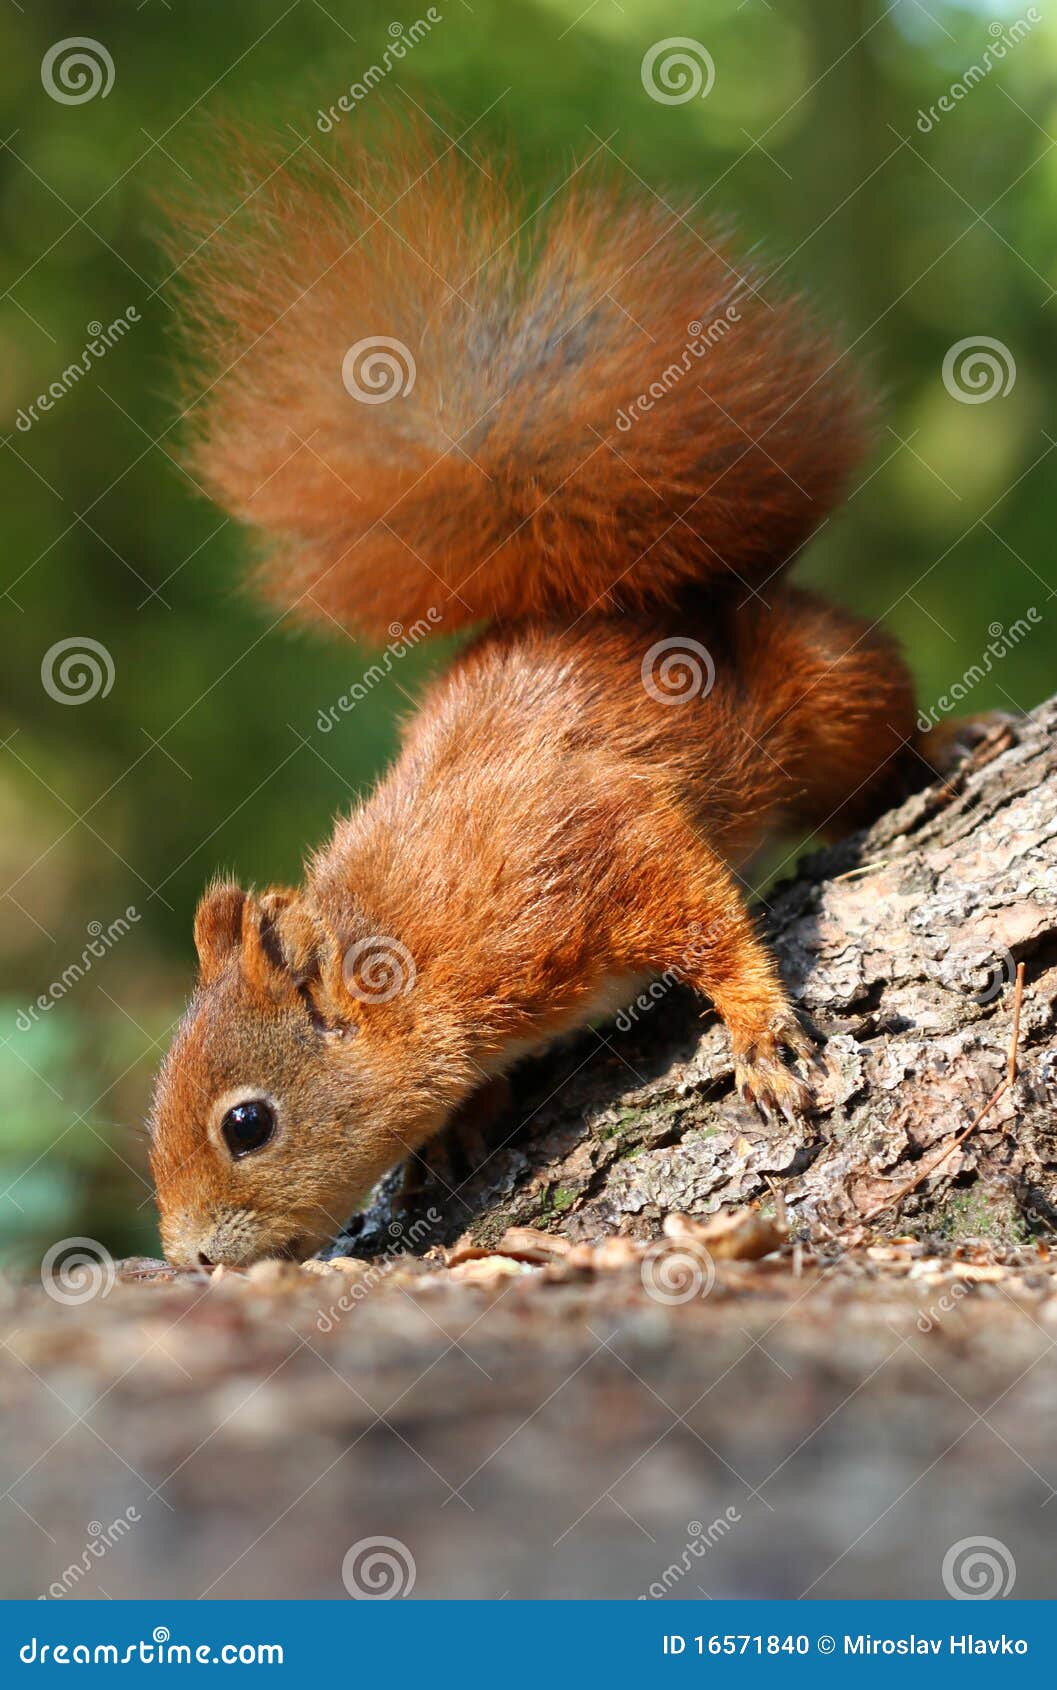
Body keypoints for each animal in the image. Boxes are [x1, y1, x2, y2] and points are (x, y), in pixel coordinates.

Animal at [149, 122, 978, 1270]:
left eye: (246, 1123)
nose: (186, 1256)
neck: (410, 949)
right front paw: (450, 1132)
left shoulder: (582, 851)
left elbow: (702, 913)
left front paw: (758, 1028)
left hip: (824, 691)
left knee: (869, 728)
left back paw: (939, 747)